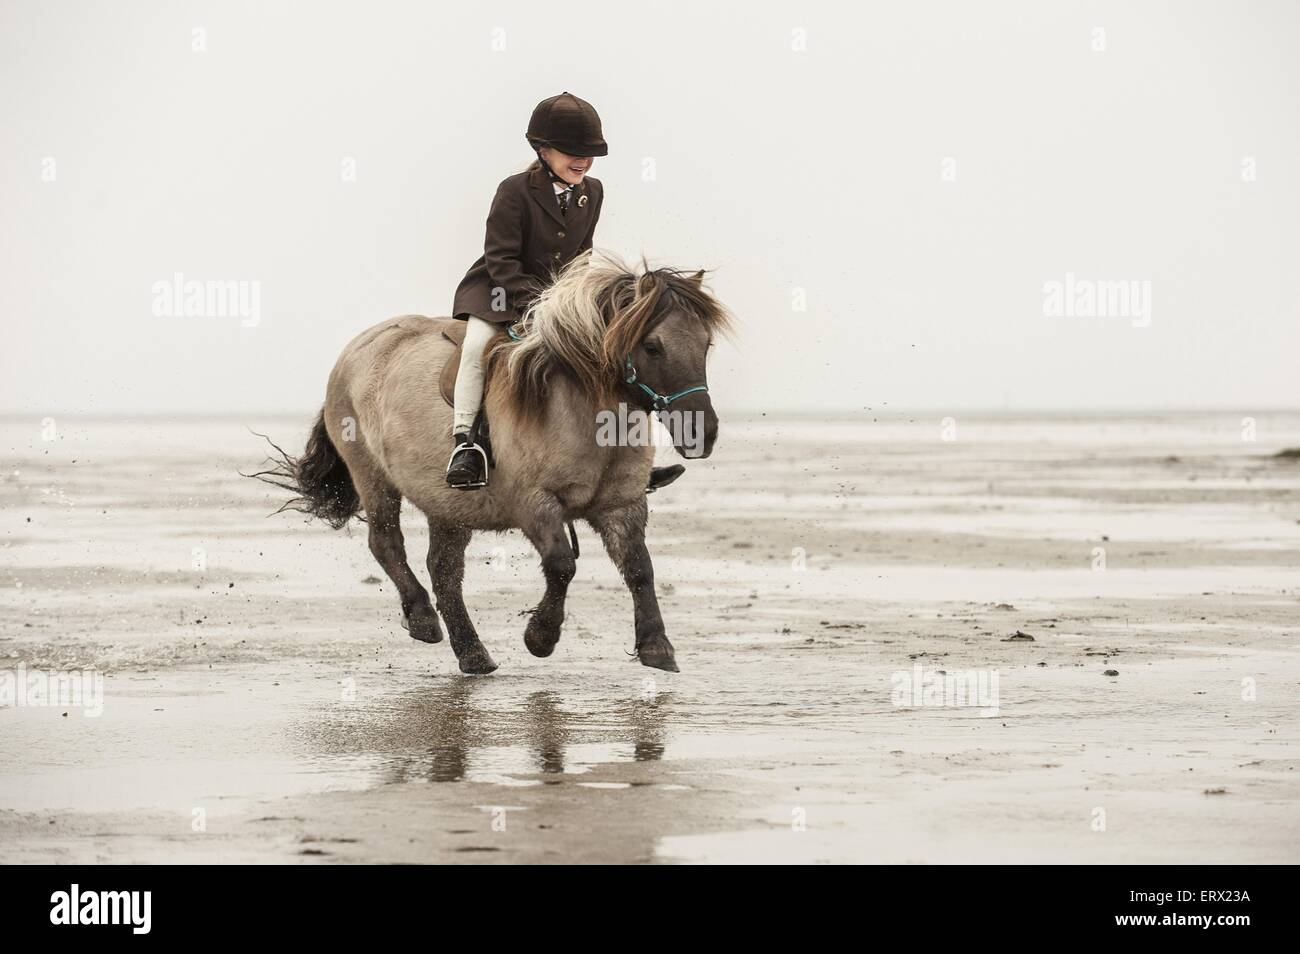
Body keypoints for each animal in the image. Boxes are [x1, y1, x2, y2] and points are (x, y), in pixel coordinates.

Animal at [254, 253, 732, 675]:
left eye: (706, 344)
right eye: (653, 346)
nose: (702, 434)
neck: (582, 406)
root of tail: (357, 348)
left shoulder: (622, 505)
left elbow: (639, 569)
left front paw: (656, 647)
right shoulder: (535, 504)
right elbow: (562, 565)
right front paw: (540, 637)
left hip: (448, 505)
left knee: (444, 571)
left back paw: (473, 654)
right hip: (371, 475)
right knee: (387, 544)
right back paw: (423, 619)